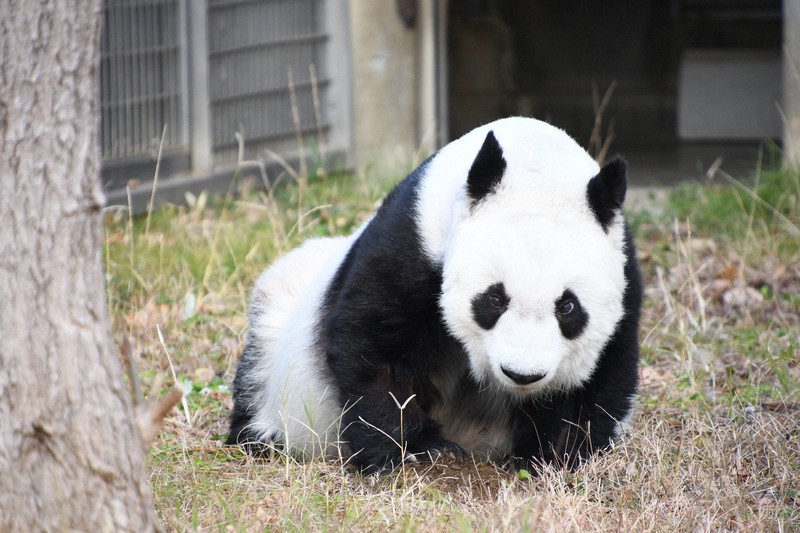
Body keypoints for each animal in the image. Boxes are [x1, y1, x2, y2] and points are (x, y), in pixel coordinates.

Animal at [227, 116, 642, 474]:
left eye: (568, 307)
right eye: (494, 299)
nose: (521, 374)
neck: (536, 162)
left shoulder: (624, 276)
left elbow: (601, 375)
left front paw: (553, 455)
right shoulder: (414, 237)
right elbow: (373, 340)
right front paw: (415, 451)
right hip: (281, 320)